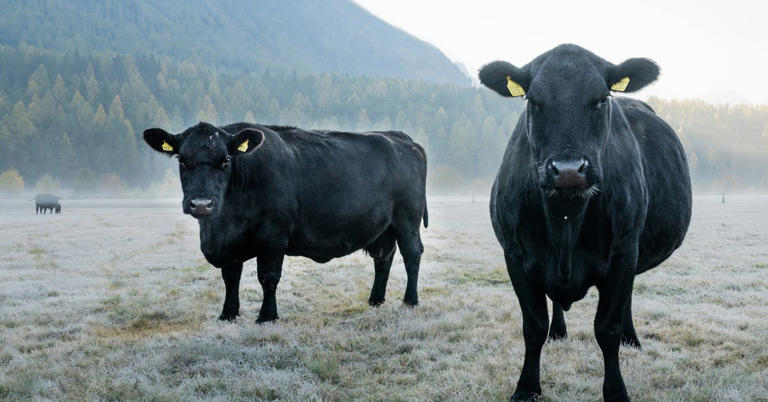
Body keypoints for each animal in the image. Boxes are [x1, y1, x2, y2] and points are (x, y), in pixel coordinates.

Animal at [143, 122, 428, 324]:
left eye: (225, 160)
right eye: (182, 160)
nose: (201, 204)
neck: (220, 226)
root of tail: (401, 137)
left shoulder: (273, 238)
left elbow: (268, 277)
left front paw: (267, 316)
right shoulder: (229, 245)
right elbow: (230, 277)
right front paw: (228, 314)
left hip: (407, 220)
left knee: (412, 254)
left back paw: (410, 300)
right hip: (384, 228)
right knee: (383, 258)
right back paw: (375, 300)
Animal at [479, 44, 691, 401]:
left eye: (602, 99)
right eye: (533, 101)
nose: (568, 170)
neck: (566, 219)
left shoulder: (622, 253)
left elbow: (607, 328)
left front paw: (616, 390)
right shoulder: (516, 256)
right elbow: (533, 326)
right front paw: (526, 387)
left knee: (625, 302)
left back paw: (631, 339)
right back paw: (558, 332)